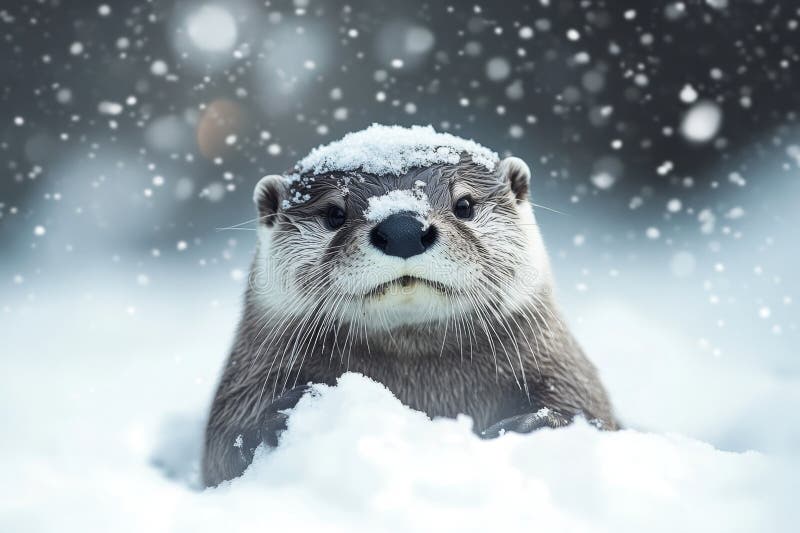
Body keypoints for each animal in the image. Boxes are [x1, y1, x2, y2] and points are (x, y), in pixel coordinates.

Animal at [203, 124, 616, 487]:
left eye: (464, 205)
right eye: (334, 214)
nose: (403, 229)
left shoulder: (563, 368)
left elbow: (597, 416)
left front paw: (533, 425)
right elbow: (222, 447)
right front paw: (282, 416)